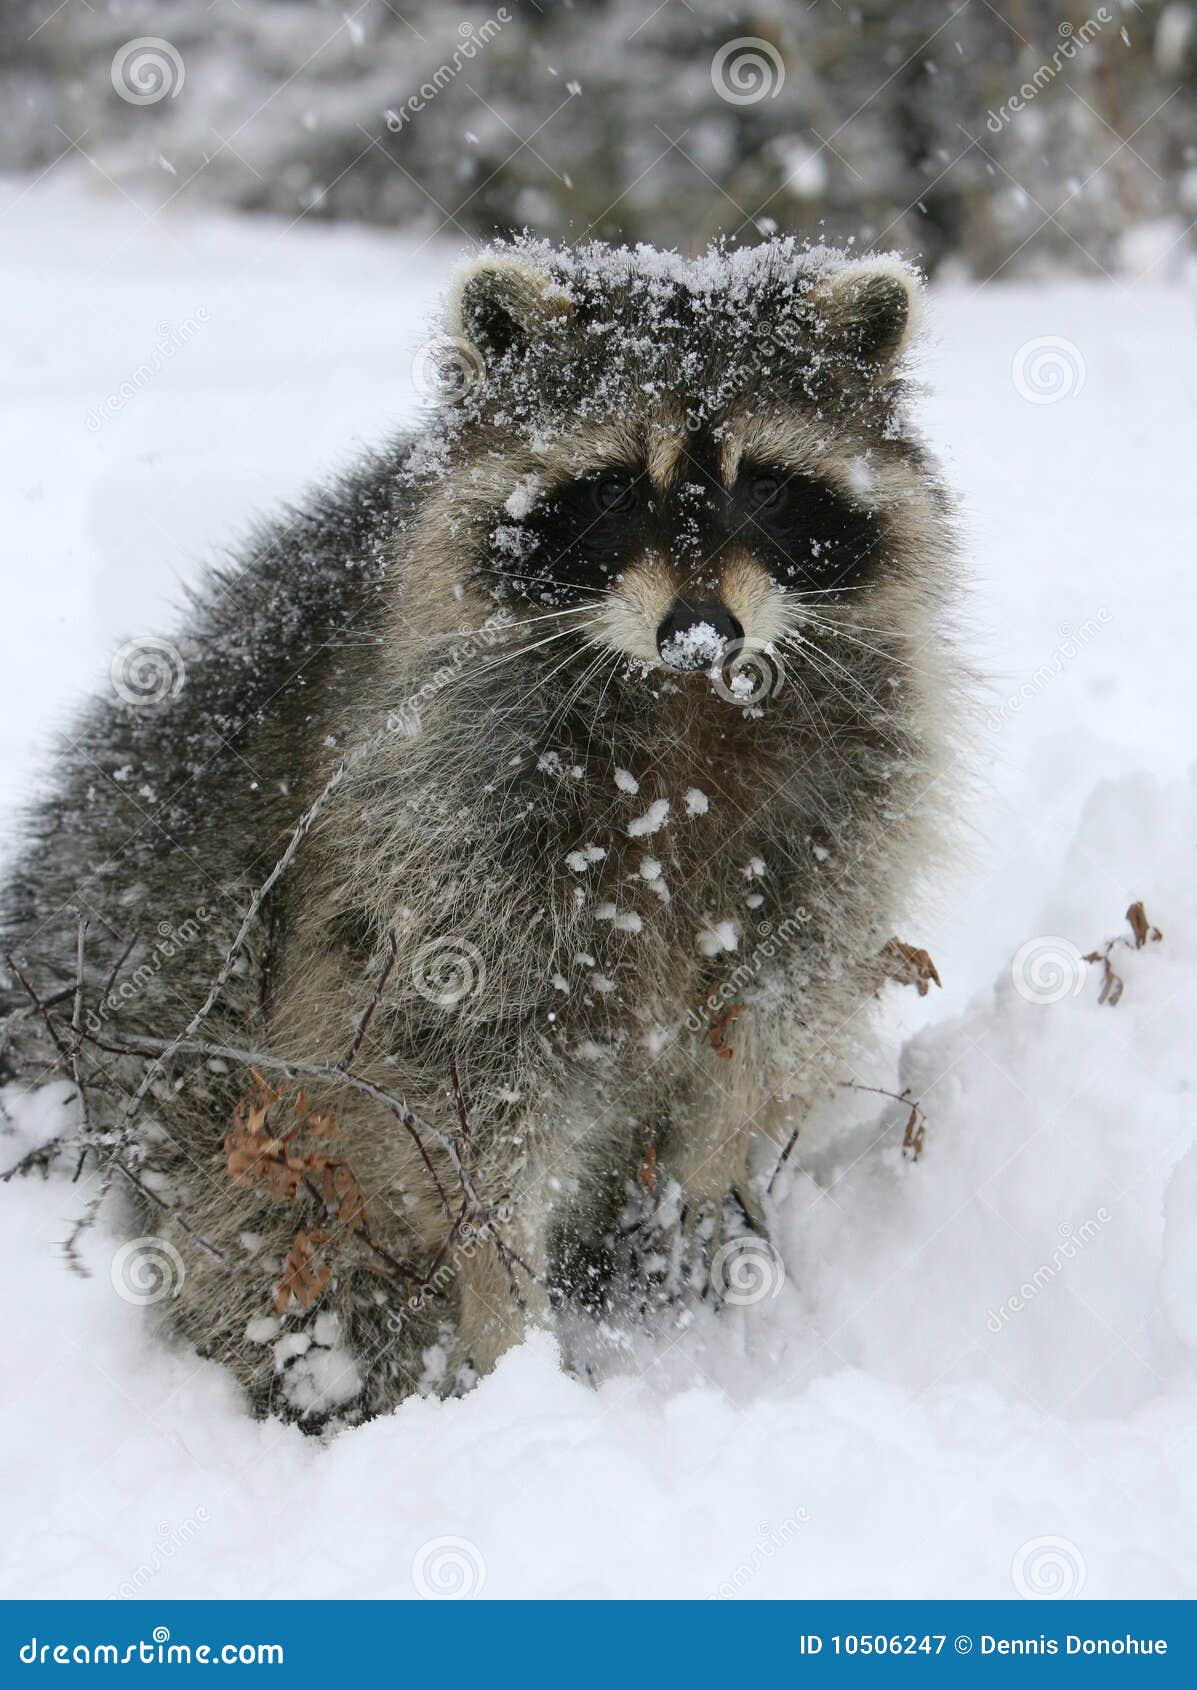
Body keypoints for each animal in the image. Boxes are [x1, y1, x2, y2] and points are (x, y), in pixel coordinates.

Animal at [1, 237, 959, 1424]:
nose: (700, 630)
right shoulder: (429, 824)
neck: (681, 703)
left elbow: (765, 1013)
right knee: (264, 1238)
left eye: (766, 485)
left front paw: (700, 1178)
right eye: (616, 491)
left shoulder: (839, 813)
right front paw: (509, 1320)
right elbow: (454, 1092)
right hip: (180, 1088)